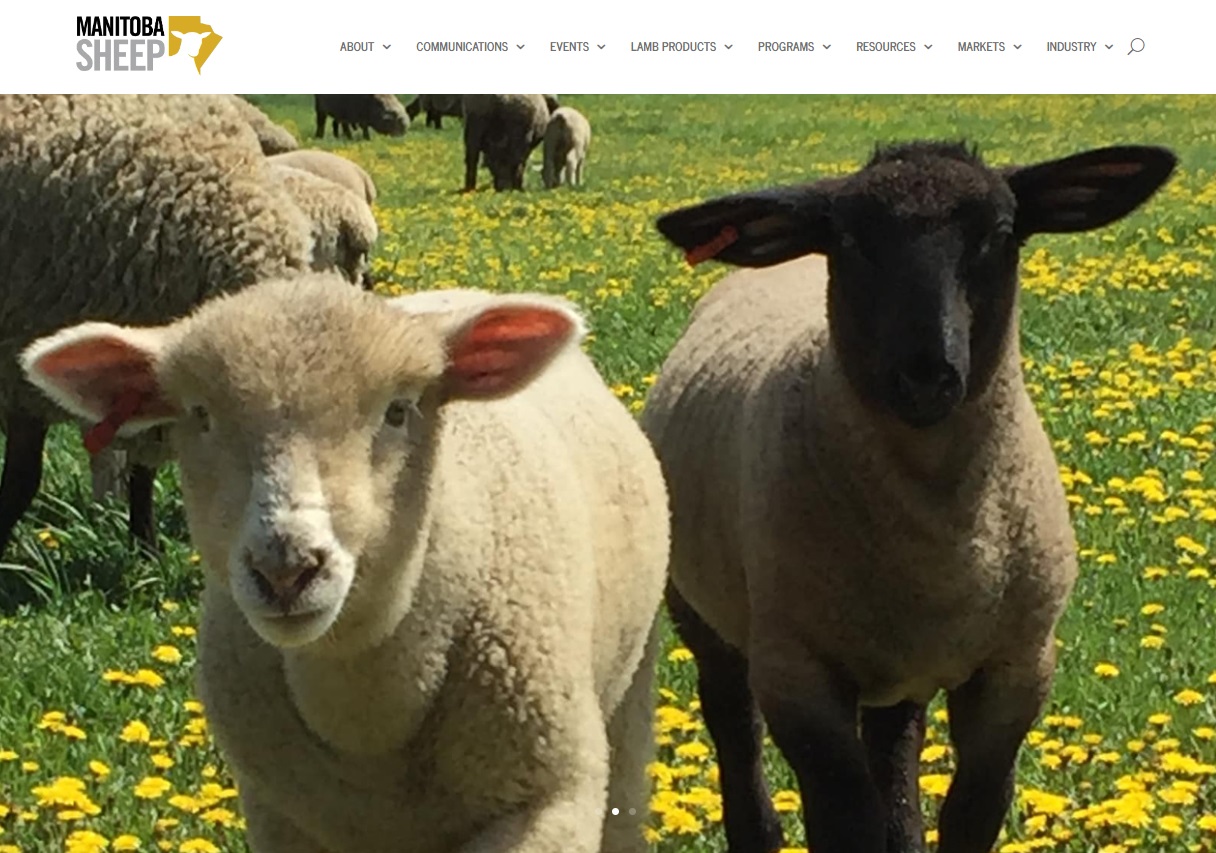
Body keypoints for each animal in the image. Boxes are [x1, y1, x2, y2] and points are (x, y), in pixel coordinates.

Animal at [20, 275, 671, 853]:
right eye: (200, 415)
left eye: (399, 410)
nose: (285, 568)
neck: (368, 720)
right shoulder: (280, 816)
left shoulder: (542, 805)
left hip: (629, 700)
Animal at [641, 140, 1177, 853]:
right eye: (848, 239)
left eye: (1000, 232)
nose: (926, 376)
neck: (941, 535)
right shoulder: (799, 675)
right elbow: (847, 825)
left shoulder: (1018, 670)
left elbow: (970, 815)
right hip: (705, 612)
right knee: (735, 733)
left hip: (896, 669)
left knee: (894, 749)